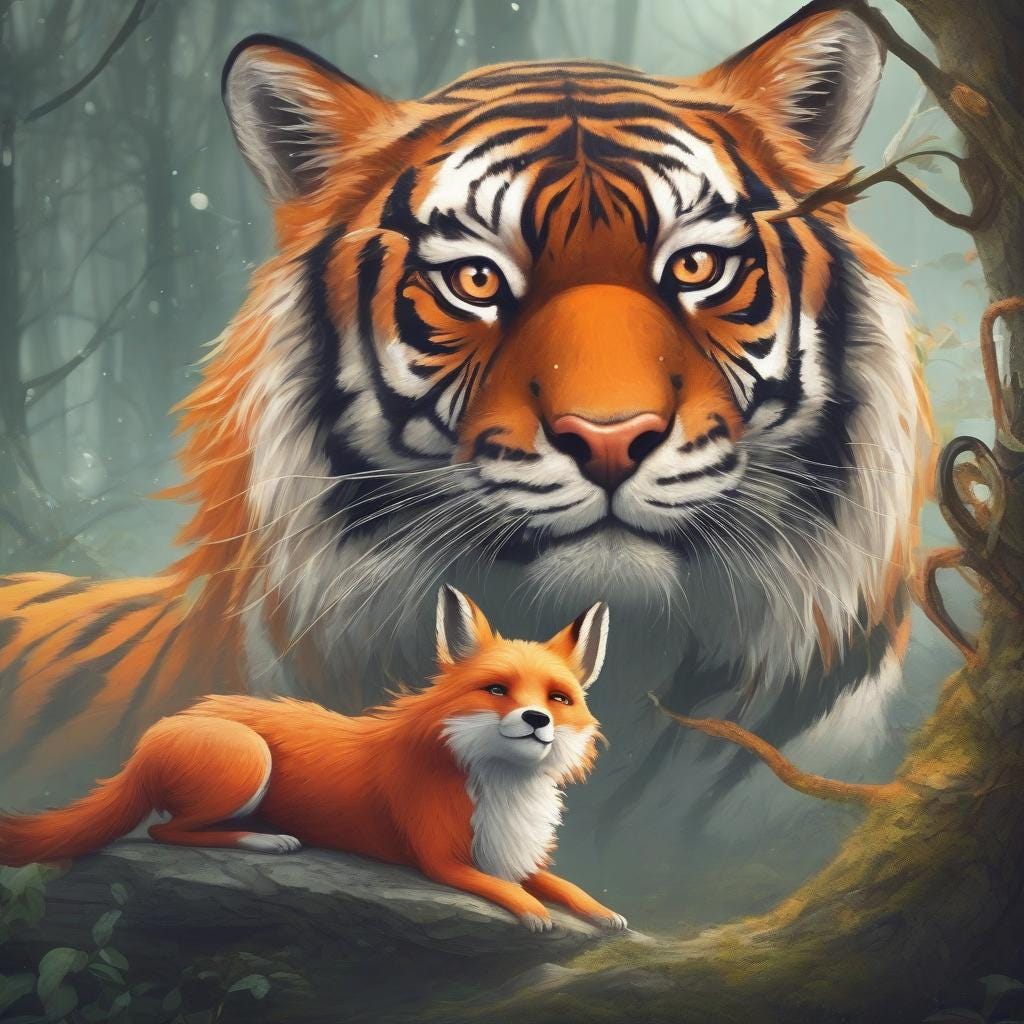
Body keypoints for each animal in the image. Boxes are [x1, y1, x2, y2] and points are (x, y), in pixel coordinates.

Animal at [0, 586, 625, 933]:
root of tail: (155, 733)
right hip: (248, 761)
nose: (537, 720)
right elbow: (513, 894)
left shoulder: (511, 856)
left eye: (558, 698)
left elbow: (562, 886)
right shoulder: (439, 861)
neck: (495, 786)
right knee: (166, 833)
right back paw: (266, 840)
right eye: (497, 690)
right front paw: (536, 914)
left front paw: (601, 913)